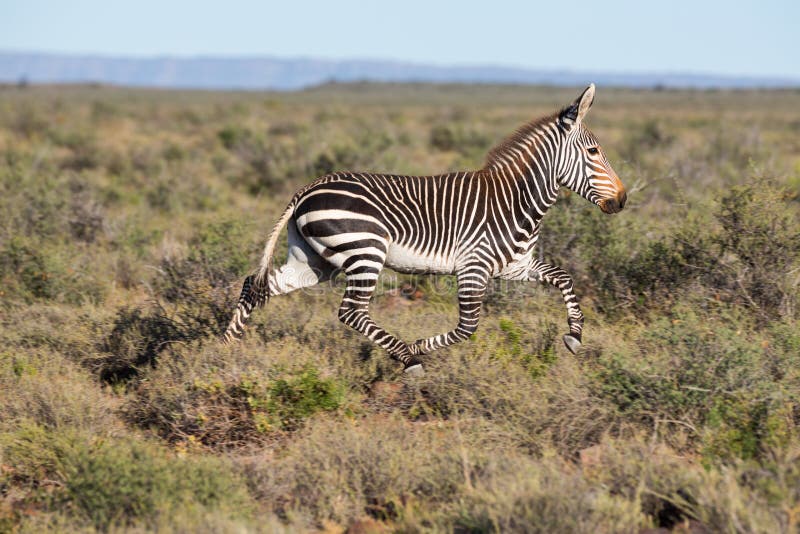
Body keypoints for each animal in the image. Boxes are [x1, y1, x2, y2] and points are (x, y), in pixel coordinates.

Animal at [223, 84, 626, 375]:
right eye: (593, 152)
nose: (621, 200)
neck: (515, 201)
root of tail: (306, 189)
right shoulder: (474, 267)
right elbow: (468, 326)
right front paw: (418, 348)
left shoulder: (515, 266)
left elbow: (564, 278)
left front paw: (574, 335)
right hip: (365, 251)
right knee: (350, 312)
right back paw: (407, 358)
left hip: (313, 260)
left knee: (258, 286)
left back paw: (225, 351)